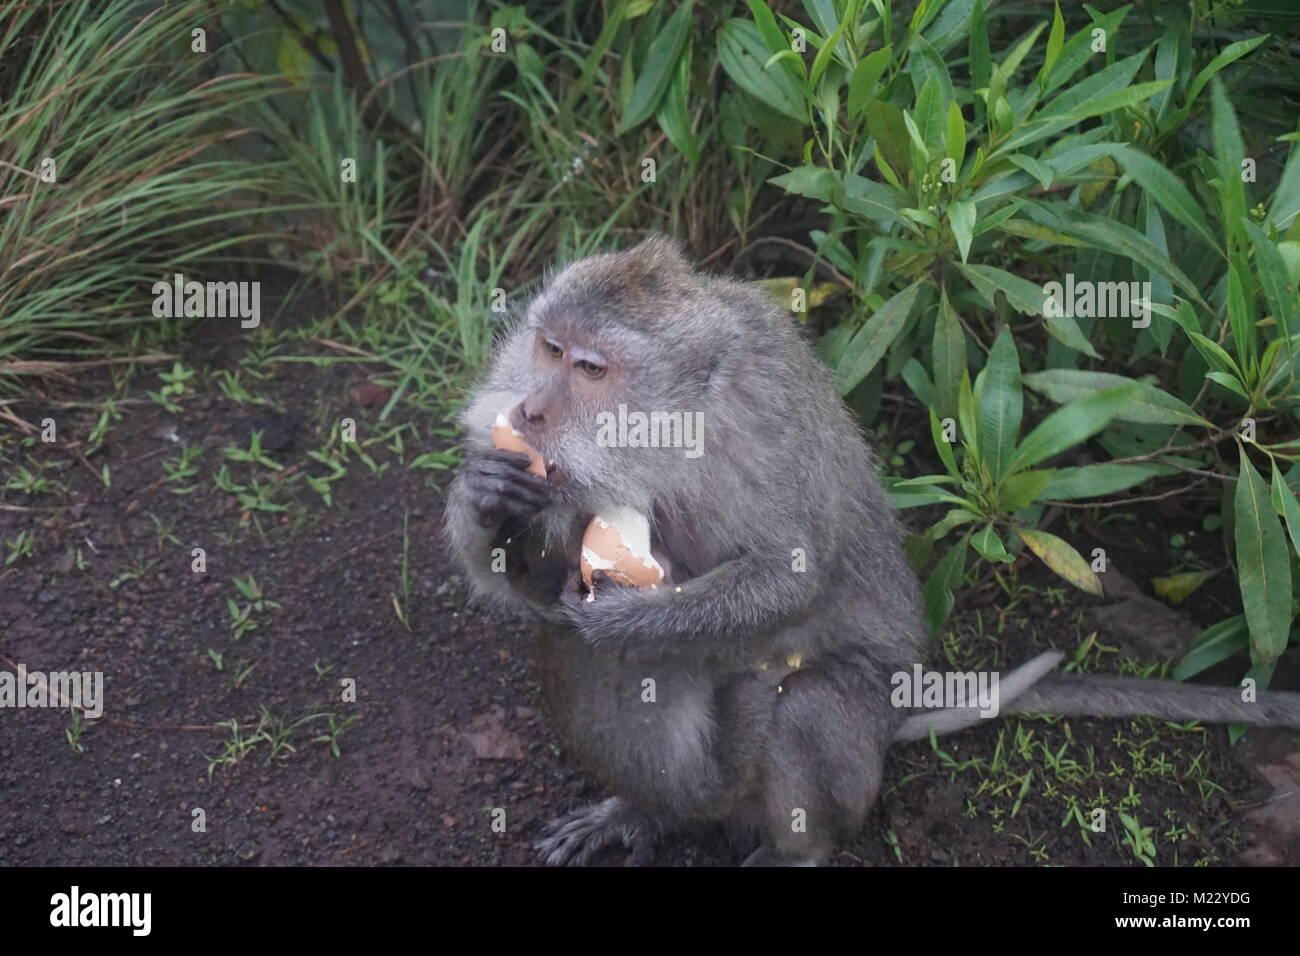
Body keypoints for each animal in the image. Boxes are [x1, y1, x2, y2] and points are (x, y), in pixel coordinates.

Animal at [443, 236, 1300, 866]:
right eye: (549, 349)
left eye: (591, 368)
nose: (530, 409)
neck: (676, 425)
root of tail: (896, 712)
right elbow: (536, 592)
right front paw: (489, 498)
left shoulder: (760, 430)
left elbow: (789, 575)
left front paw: (621, 618)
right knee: (566, 654)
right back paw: (656, 813)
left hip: (857, 736)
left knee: (803, 708)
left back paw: (790, 846)